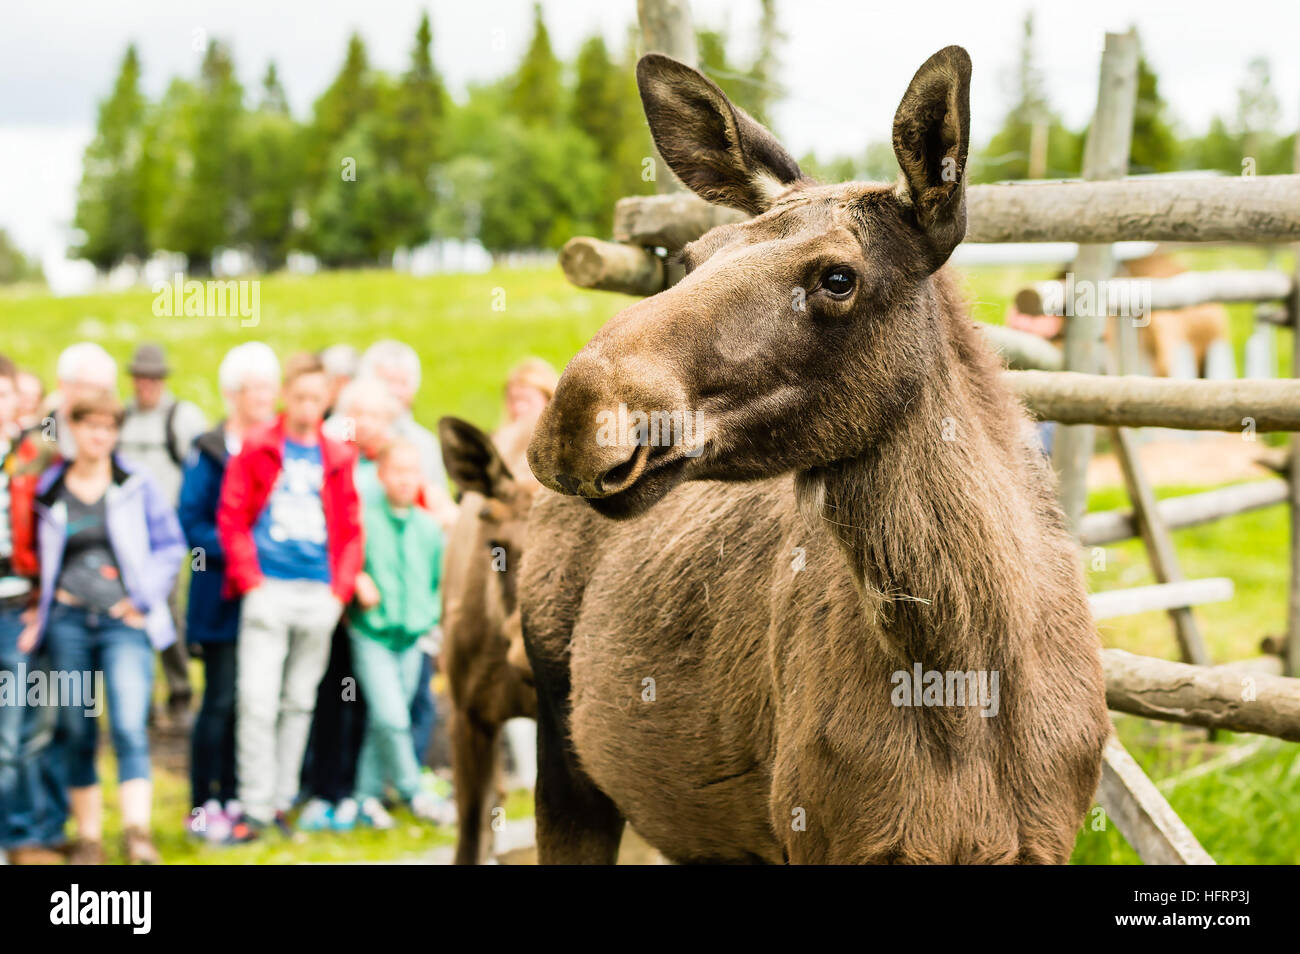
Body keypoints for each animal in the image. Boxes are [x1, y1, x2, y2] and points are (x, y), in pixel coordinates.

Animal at [521, 46, 1110, 864]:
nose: (576, 416)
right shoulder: (830, 838)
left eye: (838, 277)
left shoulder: (1047, 837)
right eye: (691, 258)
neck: (963, 677)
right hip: (564, 761)